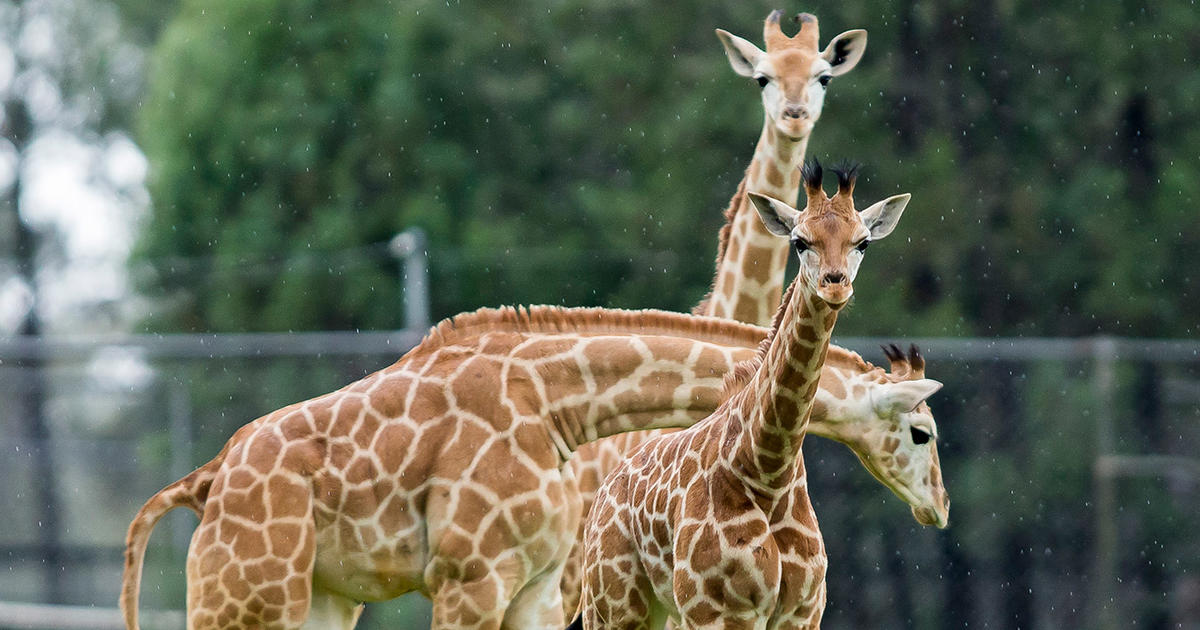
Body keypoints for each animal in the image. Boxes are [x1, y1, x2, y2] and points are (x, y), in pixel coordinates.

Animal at [578, 160, 914, 629]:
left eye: (862, 242)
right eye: (799, 242)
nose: (835, 285)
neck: (768, 469)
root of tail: (605, 491)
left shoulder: (802, 613)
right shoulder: (716, 611)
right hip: (614, 604)